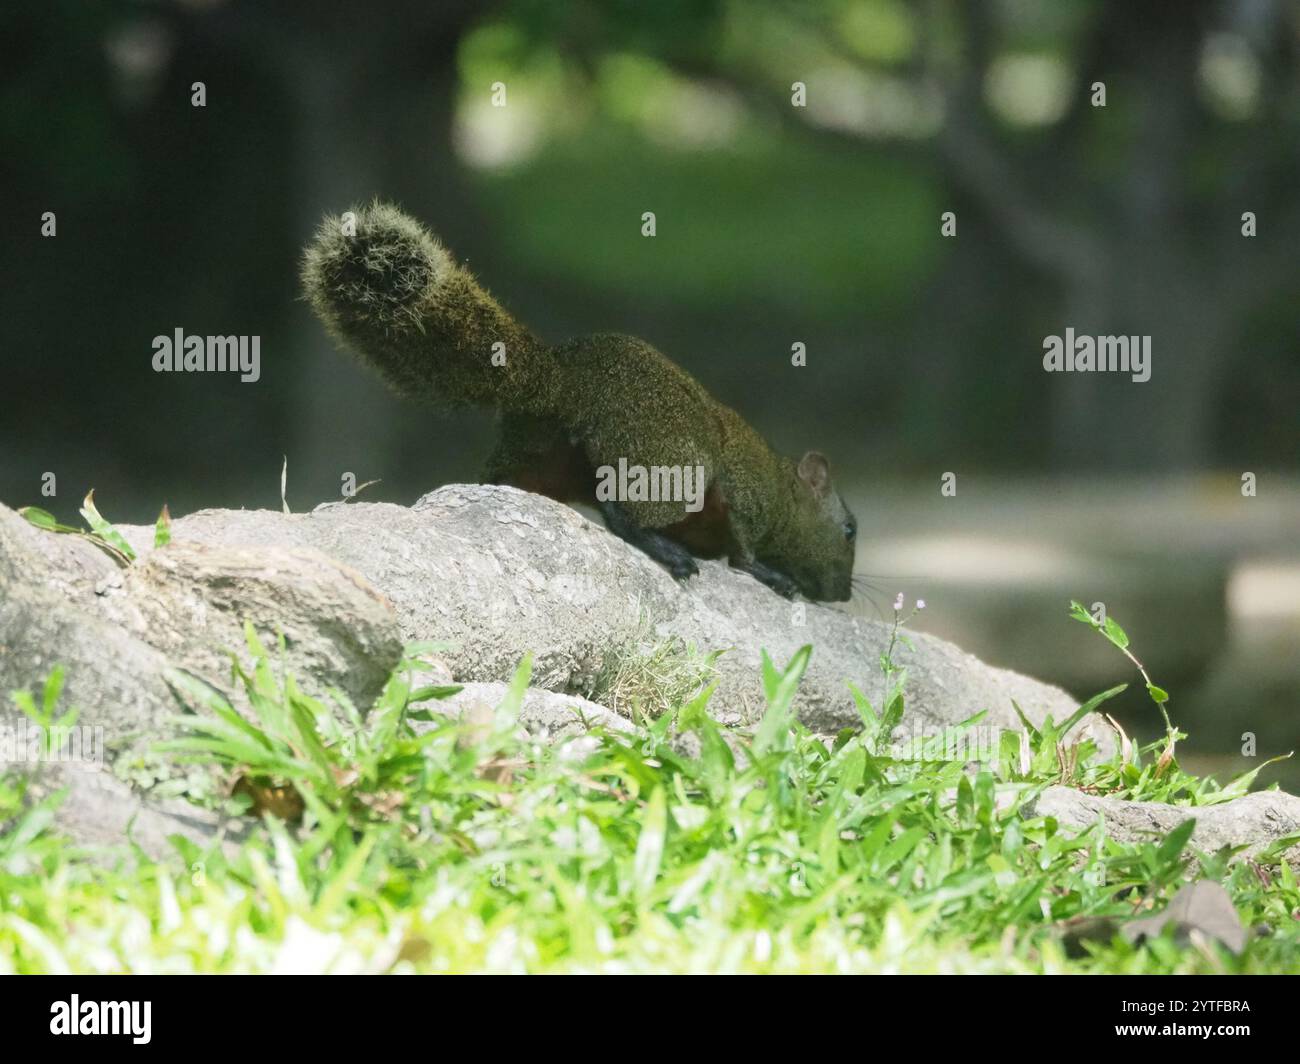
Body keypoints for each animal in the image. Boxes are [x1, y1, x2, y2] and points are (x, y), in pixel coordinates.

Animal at [301, 202, 857, 601]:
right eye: (850, 530)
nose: (845, 596)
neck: (786, 492)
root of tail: (564, 382)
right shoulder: (747, 495)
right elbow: (742, 553)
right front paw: (771, 574)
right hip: (670, 457)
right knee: (620, 509)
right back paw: (665, 550)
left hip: (539, 454)